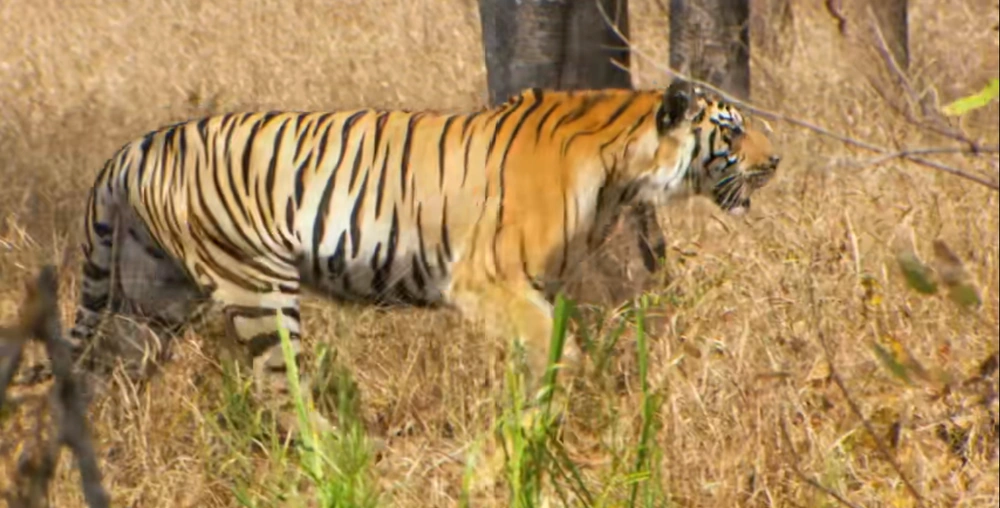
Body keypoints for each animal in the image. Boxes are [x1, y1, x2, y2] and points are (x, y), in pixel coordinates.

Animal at [67, 78, 780, 434]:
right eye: (733, 129)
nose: (775, 161)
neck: (624, 173)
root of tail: (134, 147)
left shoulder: (537, 286)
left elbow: (546, 349)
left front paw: (532, 419)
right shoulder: (486, 280)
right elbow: (562, 353)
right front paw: (541, 425)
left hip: (150, 301)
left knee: (99, 377)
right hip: (253, 286)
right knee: (279, 388)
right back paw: (343, 451)